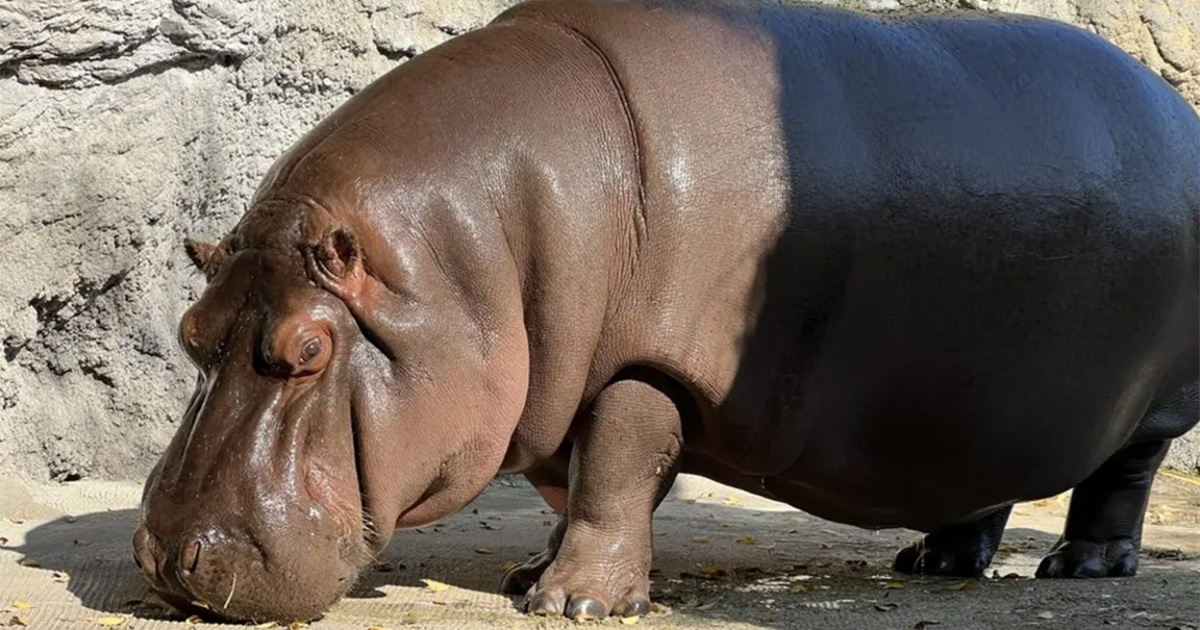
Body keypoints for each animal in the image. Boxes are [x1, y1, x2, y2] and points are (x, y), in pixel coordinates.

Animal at [132, 0, 1200, 623]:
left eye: (309, 349)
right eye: (189, 334)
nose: (167, 556)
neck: (470, 256)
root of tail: (1178, 110)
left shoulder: (643, 366)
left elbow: (614, 471)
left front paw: (570, 606)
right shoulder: (562, 376)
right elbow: (581, 488)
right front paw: (530, 578)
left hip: (1155, 406)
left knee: (1120, 477)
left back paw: (1081, 569)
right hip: (984, 401)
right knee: (984, 479)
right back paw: (932, 564)